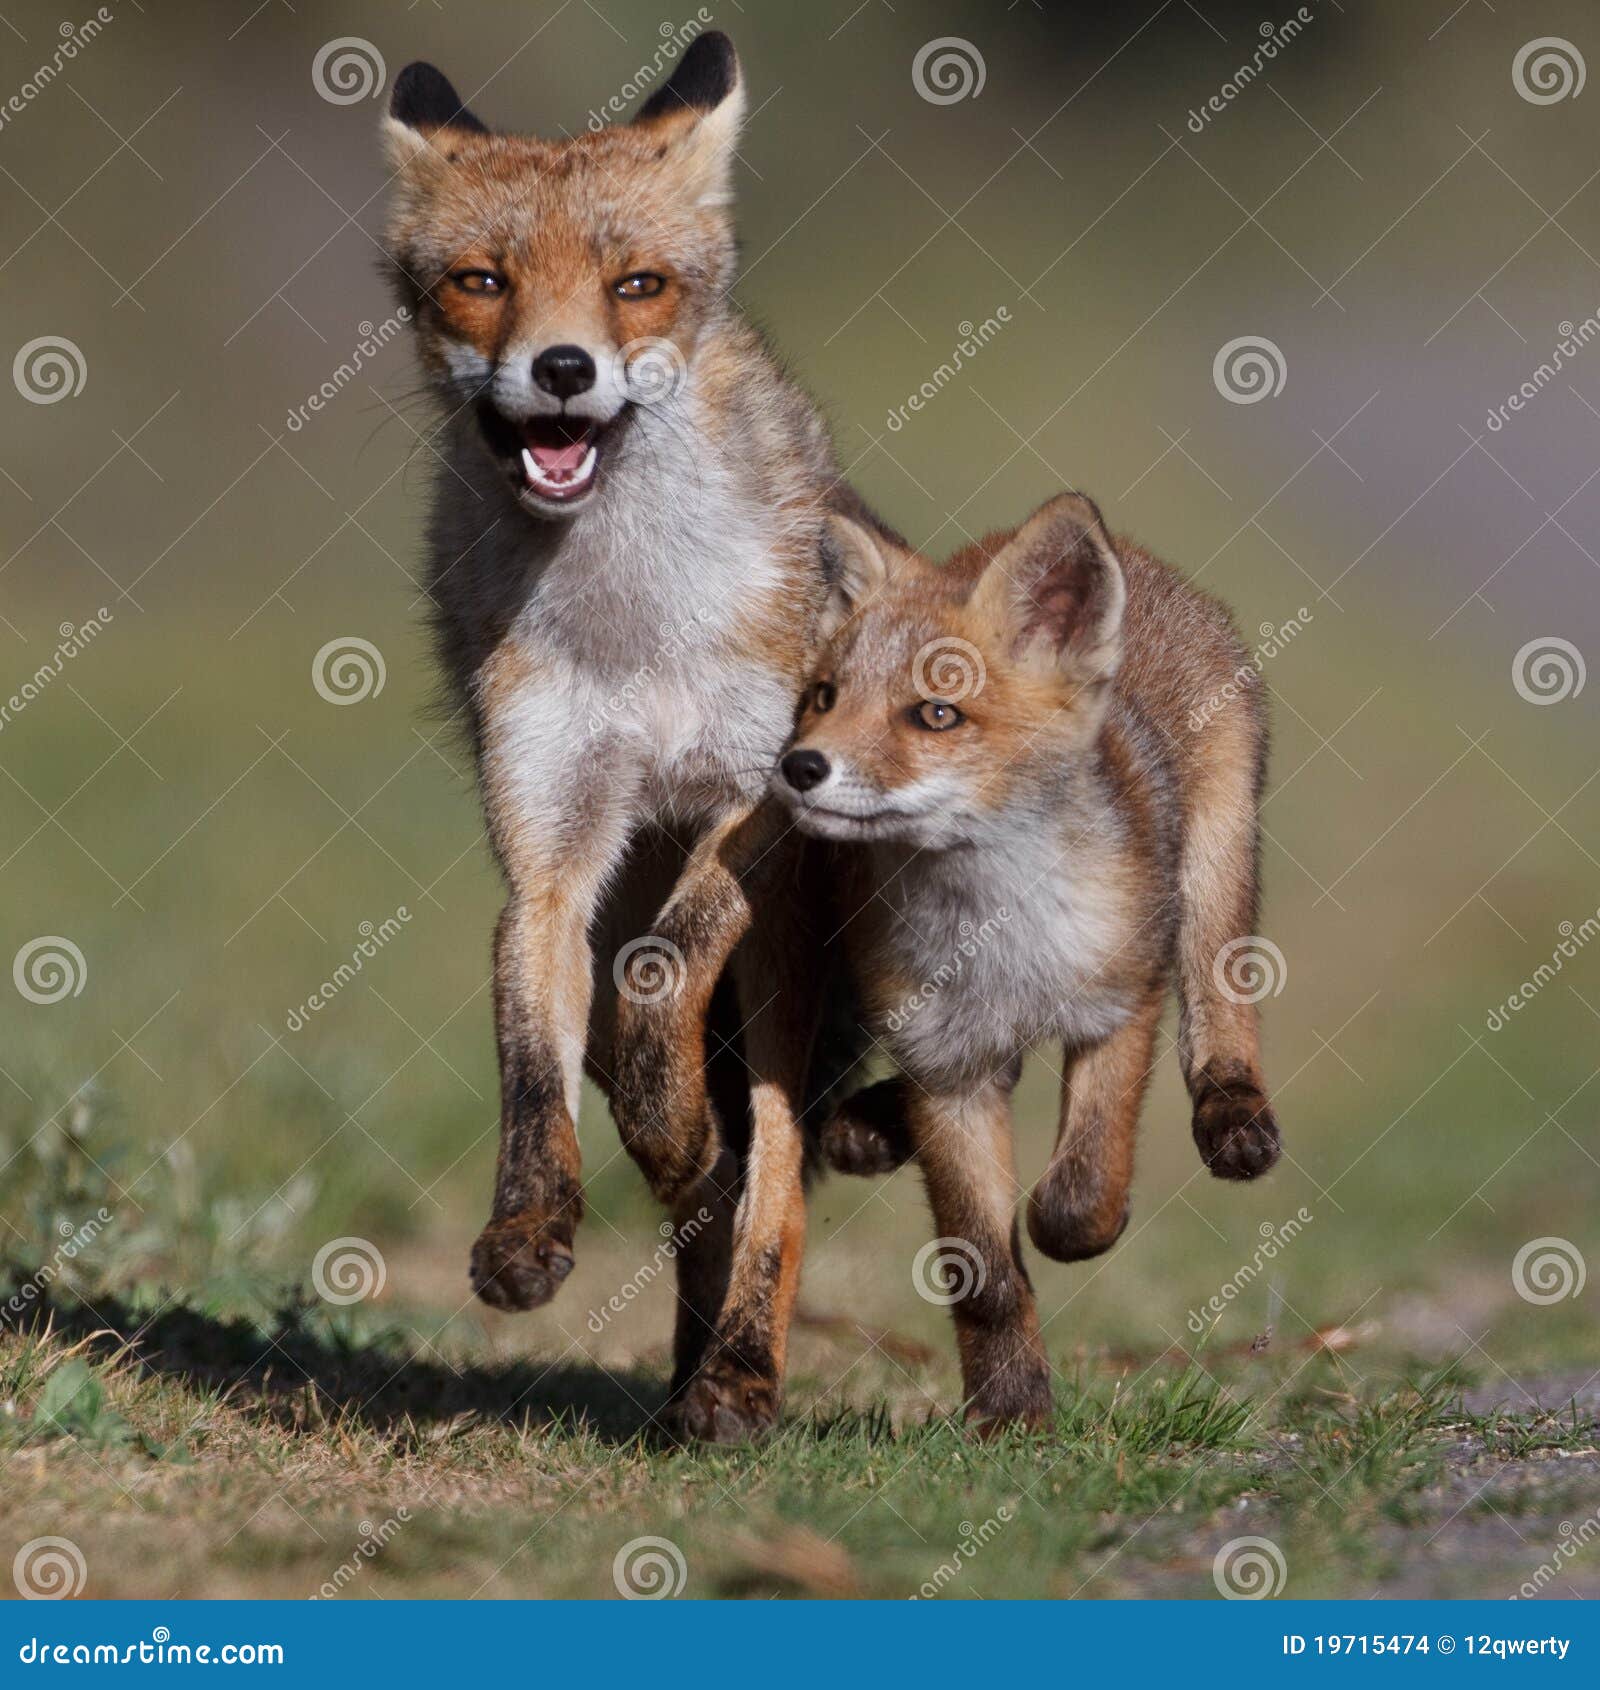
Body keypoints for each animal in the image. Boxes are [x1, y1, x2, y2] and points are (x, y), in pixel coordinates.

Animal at [379, 34, 893, 1442]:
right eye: (481, 283)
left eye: (637, 287)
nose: (562, 368)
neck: (634, 629)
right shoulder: (551, 854)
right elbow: (530, 1054)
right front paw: (529, 1229)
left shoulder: (760, 798)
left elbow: (668, 969)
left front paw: (677, 1134)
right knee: (672, 1147)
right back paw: (685, 1356)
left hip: (783, 977)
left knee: (775, 1168)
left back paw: (739, 1375)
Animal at [760, 491, 1285, 1427]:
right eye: (823, 696)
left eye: (935, 714)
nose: (799, 765)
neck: (997, 942)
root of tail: (1143, 562)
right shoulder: (947, 1062)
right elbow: (983, 1274)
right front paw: (1008, 1405)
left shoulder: (1122, 1002)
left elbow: (1079, 1191)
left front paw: (1074, 1229)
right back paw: (871, 1124)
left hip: (1212, 881)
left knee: (1221, 1011)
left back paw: (1233, 1112)